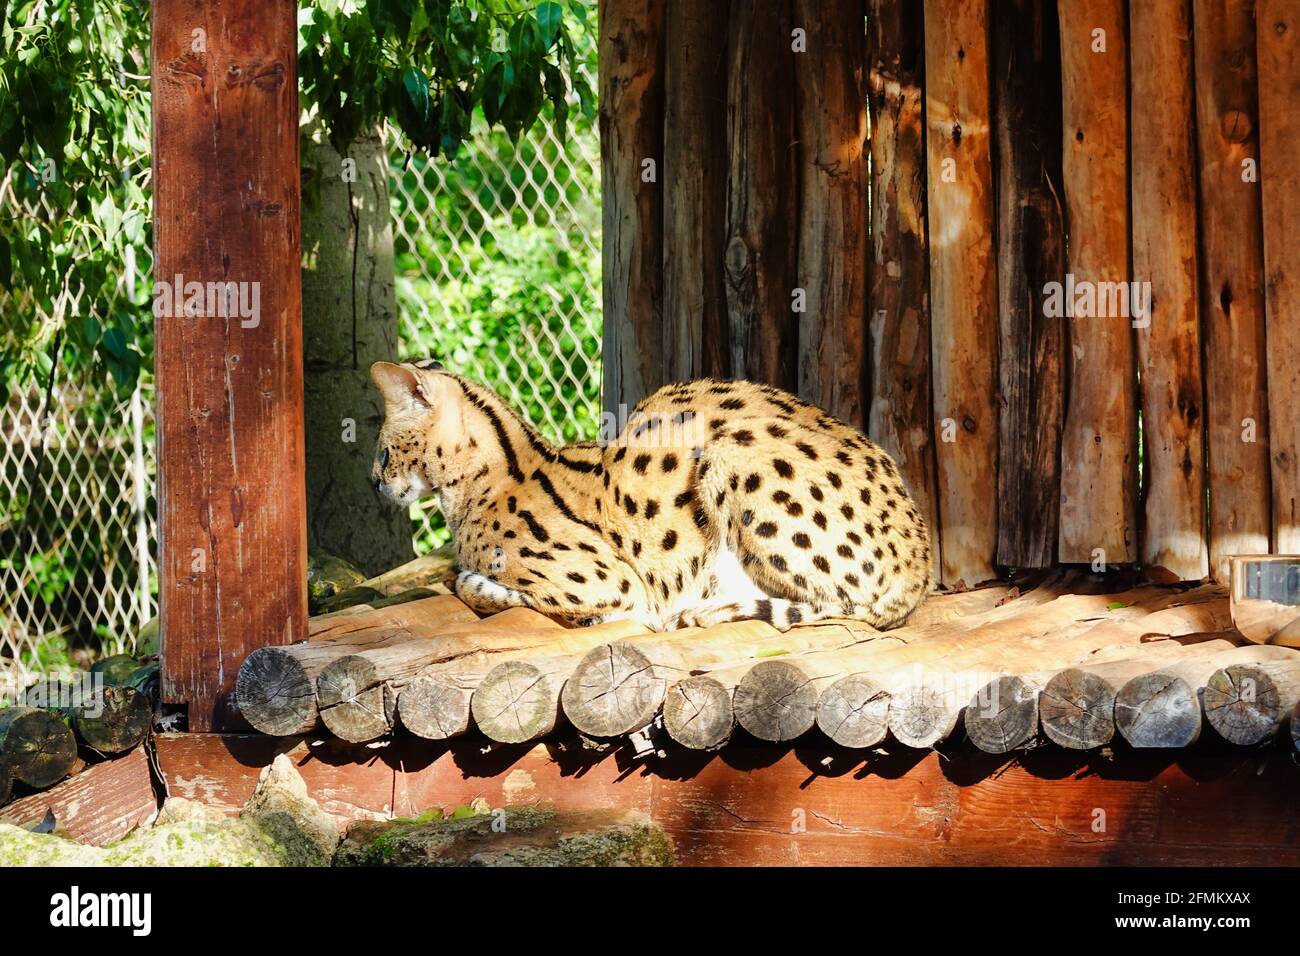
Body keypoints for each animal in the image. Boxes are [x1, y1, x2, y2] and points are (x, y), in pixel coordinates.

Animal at [370, 359, 931, 632]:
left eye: (381, 452)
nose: (374, 482)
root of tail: (923, 563)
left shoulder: (610, 583)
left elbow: (473, 586)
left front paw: (476, 583)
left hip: (732, 453)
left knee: (840, 605)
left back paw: (705, 612)